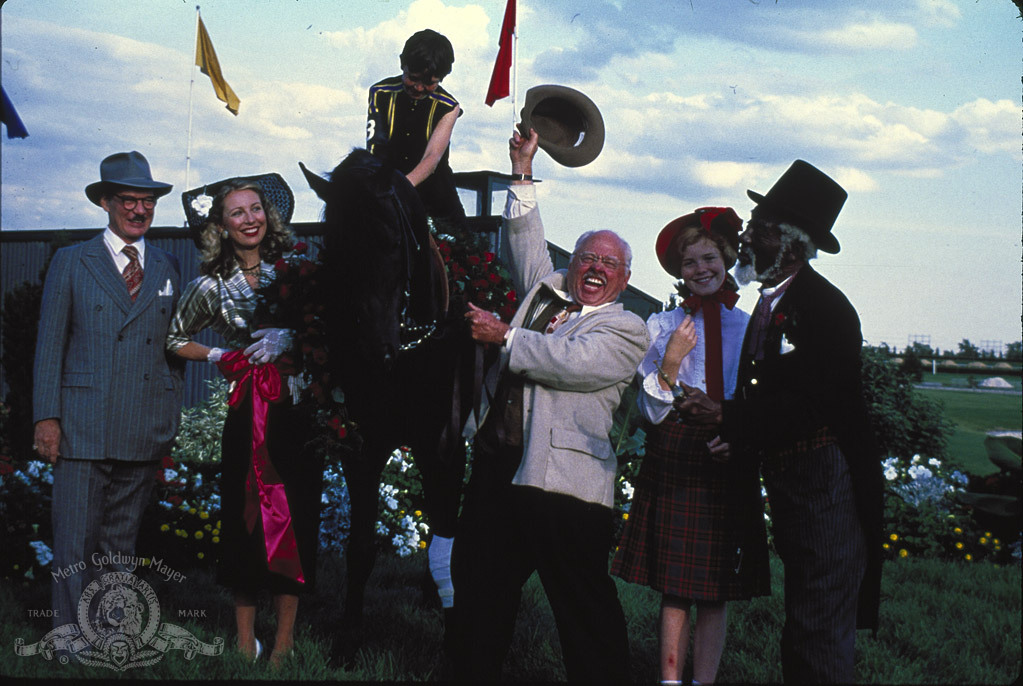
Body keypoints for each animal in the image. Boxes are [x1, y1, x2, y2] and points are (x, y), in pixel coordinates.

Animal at [300, 149, 476, 637]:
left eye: (392, 241)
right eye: (336, 247)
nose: (375, 351)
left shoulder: (442, 443)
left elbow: (442, 526)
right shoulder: (363, 442)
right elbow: (360, 546)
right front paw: (348, 636)